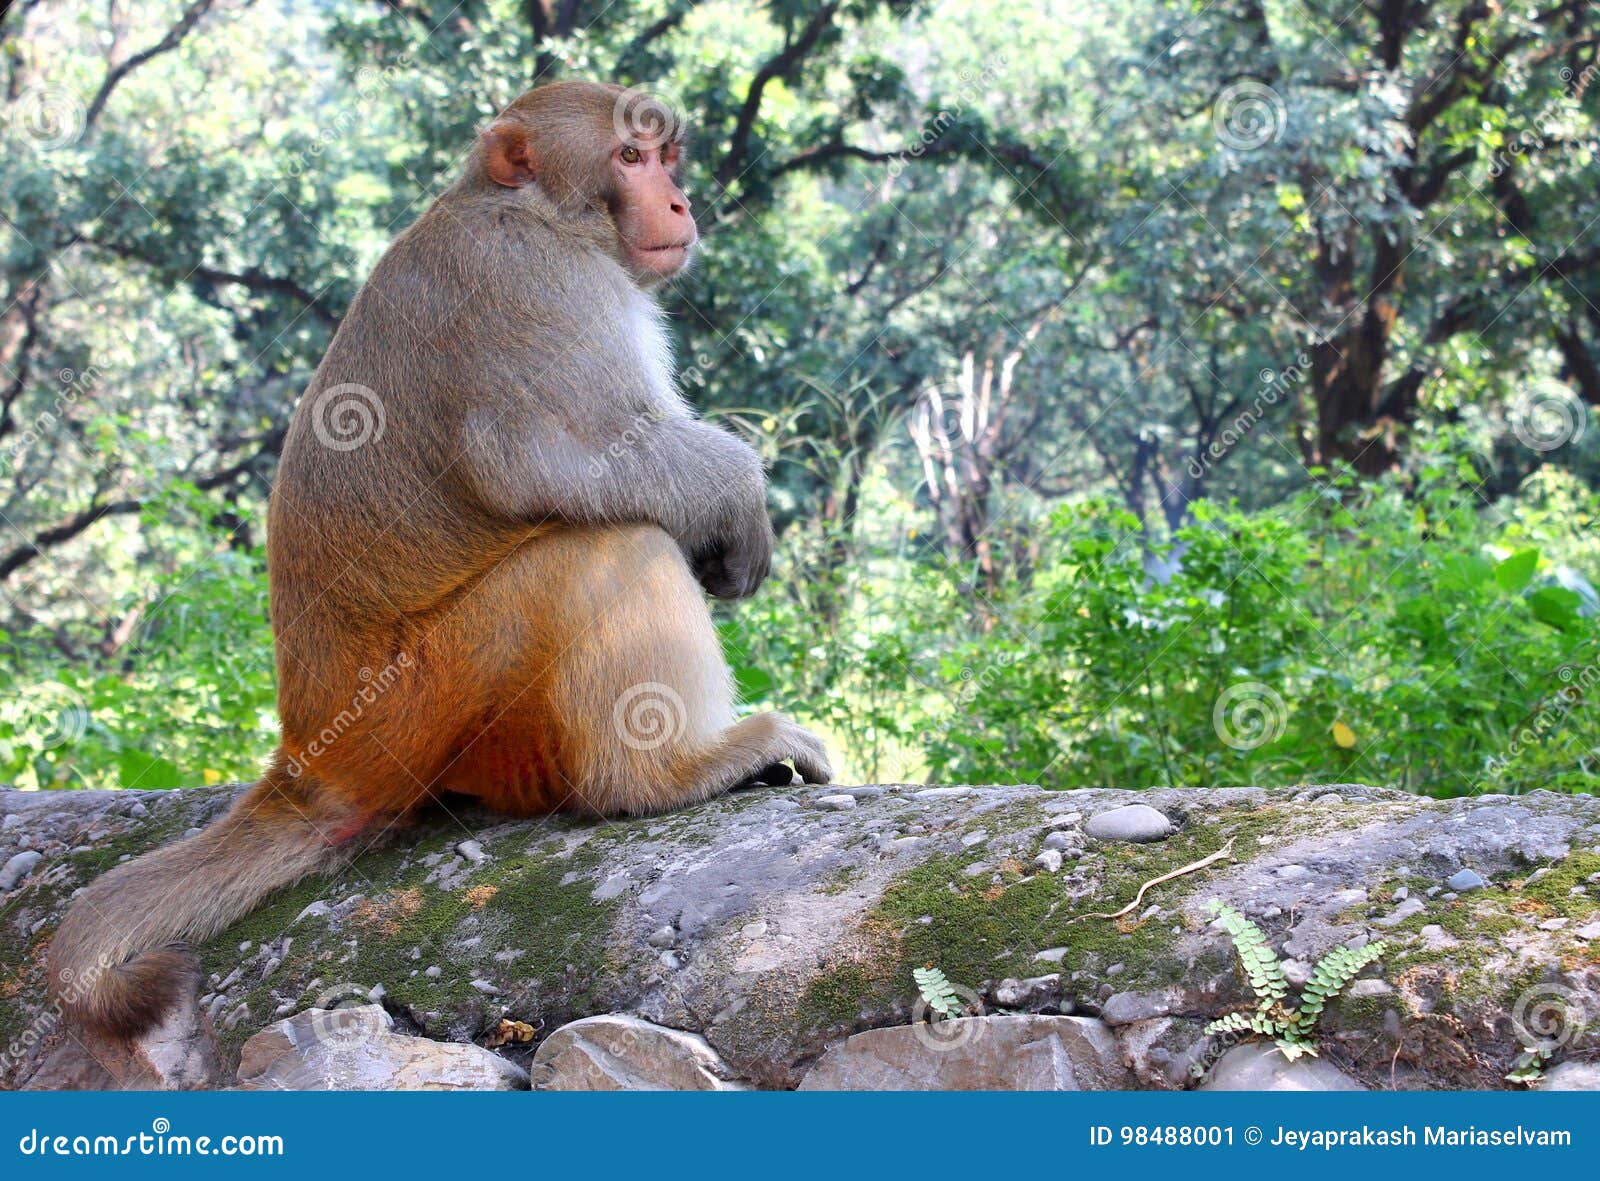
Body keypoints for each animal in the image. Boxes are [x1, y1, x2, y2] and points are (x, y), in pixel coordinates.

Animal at [49, 80, 834, 1041]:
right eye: (630, 157)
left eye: (664, 157)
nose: (681, 203)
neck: (530, 209)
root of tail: (308, 755)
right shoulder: (539, 283)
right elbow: (565, 458)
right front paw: (740, 493)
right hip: (424, 697)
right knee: (608, 541)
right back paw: (661, 775)